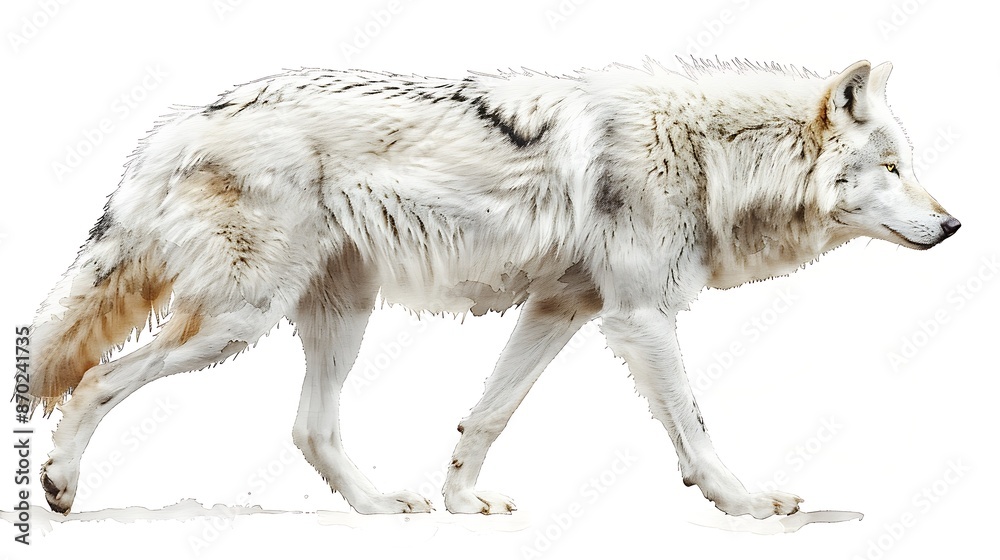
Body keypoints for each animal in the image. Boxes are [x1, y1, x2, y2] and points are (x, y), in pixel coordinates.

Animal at [29, 57, 960, 518]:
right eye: (891, 168)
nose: (953, 227)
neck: (709, 154)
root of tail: (176, 122)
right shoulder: (639, 317)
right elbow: (696, 426)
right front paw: (747, 501)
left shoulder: (563, 308)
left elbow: (488, 415)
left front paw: (461, 500)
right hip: (237, 319)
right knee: (94, 378)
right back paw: (61, 486)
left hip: (339, 314)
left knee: (308, 430)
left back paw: (384, 506)